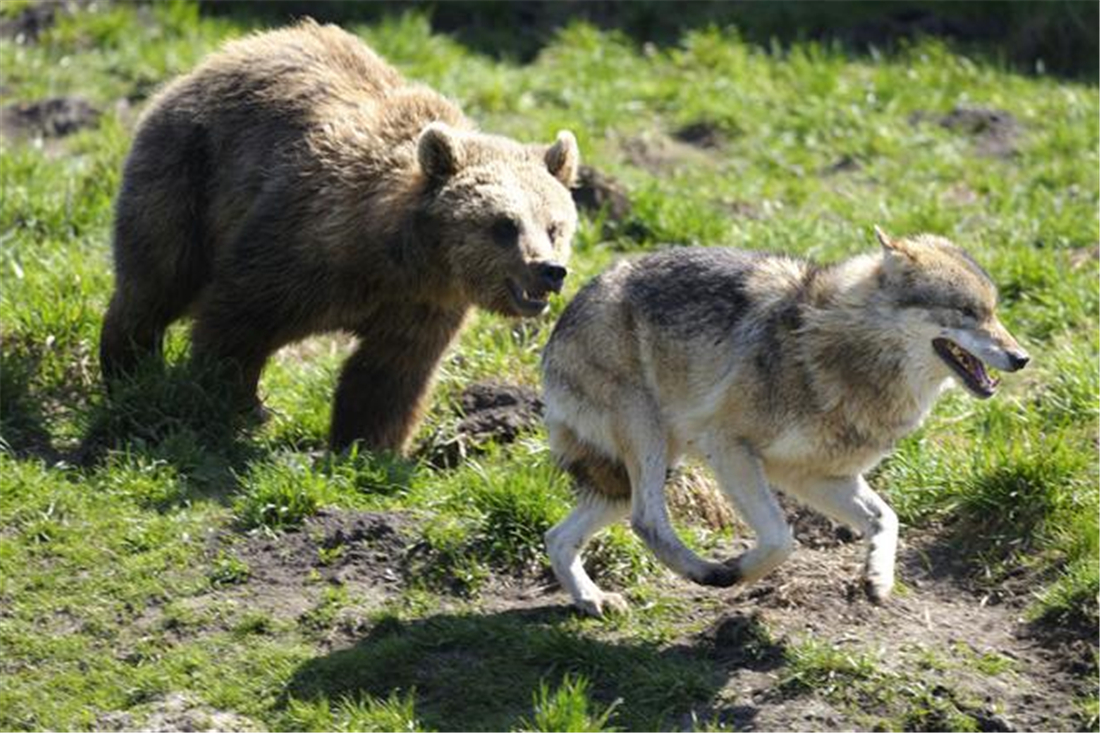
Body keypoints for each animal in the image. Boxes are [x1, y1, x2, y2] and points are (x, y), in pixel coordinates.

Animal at [542, 227, 1029, 616]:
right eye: (967, 313)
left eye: (994, 312)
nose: (1022, 358)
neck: (845, 354)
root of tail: (565, 313)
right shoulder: (729, 446)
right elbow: (781, 537)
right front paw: (739, 571)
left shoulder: (813, 475)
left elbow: (887, 518)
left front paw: (877, 578)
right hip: (648, 440)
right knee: (646, 520)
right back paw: (706, 572)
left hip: (640, 471)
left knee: (557, 536)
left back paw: (591, 599)